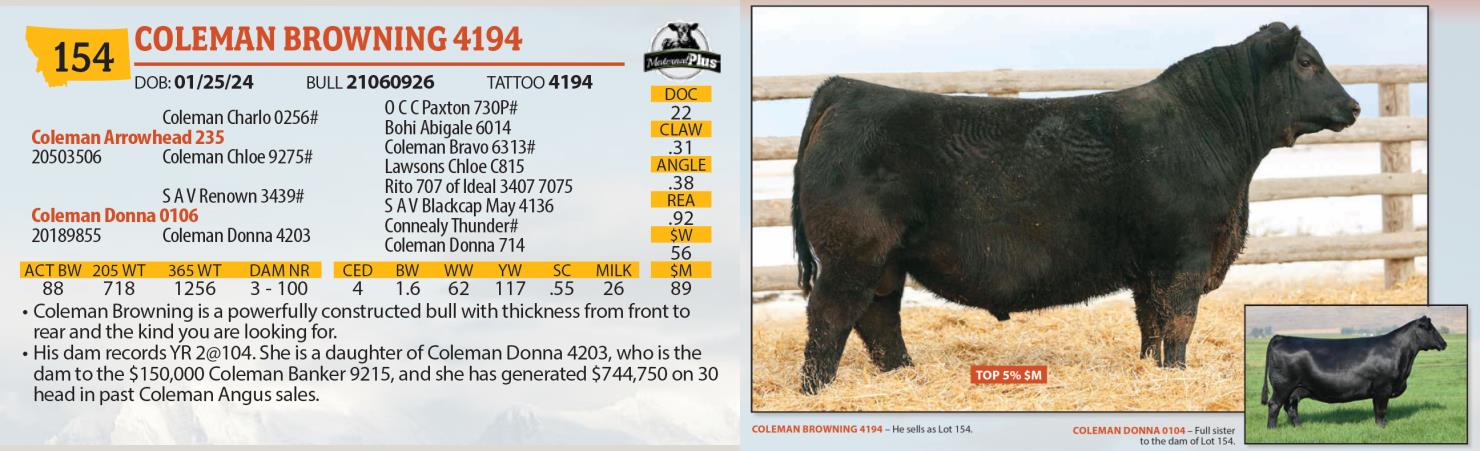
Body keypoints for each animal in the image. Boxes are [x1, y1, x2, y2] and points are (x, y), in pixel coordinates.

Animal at [789, 22, 1361, 394]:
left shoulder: (1148, 266)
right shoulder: (1185, 256)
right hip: (851, 253)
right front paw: (1176, 376)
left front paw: (1151, 370)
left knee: (878, 317)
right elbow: (1179, 321)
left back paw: (906, 376)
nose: (1353, 105)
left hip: (886, 259)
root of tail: (845, 89)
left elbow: (1150, 324)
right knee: (830, 315)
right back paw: (816, 389)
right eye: (1307, 62)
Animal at [1261, 316, 1448, 428]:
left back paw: (1299, 427)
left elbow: (1377, 409)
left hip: (1295, 389)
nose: (1444, 343)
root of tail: (1281, 337)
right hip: (1283, 386)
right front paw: (1382, 427)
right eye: (1431, 329)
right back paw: (1272, 429)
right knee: (1274, 405)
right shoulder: (1383, 387)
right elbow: (1381, 410)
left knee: (1291, 407)